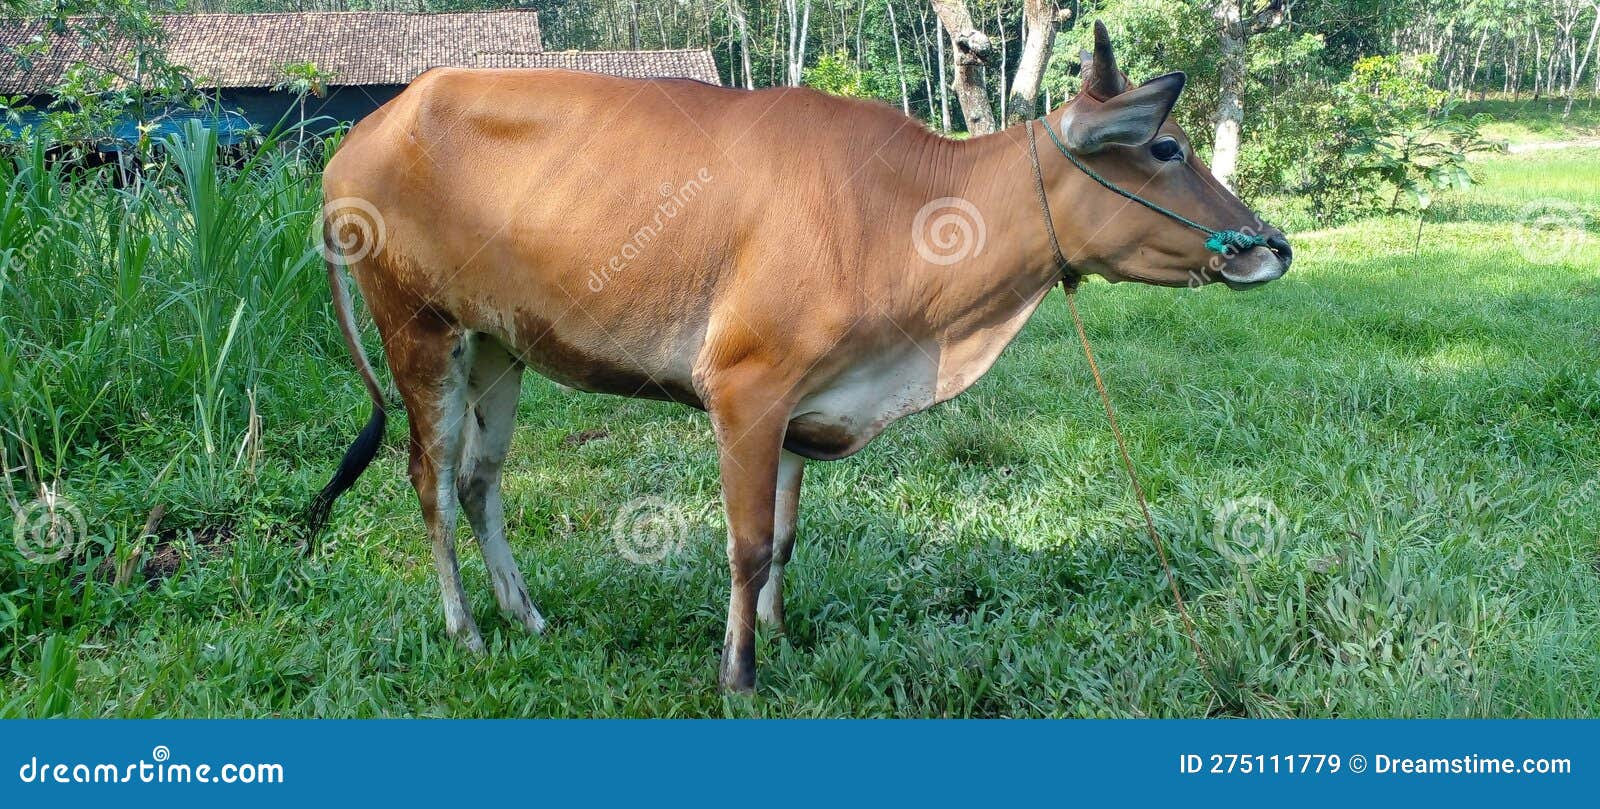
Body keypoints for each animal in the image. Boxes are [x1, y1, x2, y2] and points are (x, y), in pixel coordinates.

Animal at [307, 22, 1291, 693]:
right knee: (431, 483)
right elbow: (745, 544)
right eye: (1164, 145)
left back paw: (527, 614)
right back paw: (466, 632)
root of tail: (361, 135)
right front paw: (737, 672)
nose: (1273, 246)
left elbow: (783, 535)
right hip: (420, 331)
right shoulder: (746, 387)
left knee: (481, 482)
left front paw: (778, 633)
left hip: (496, 346)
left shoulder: (804, 401)